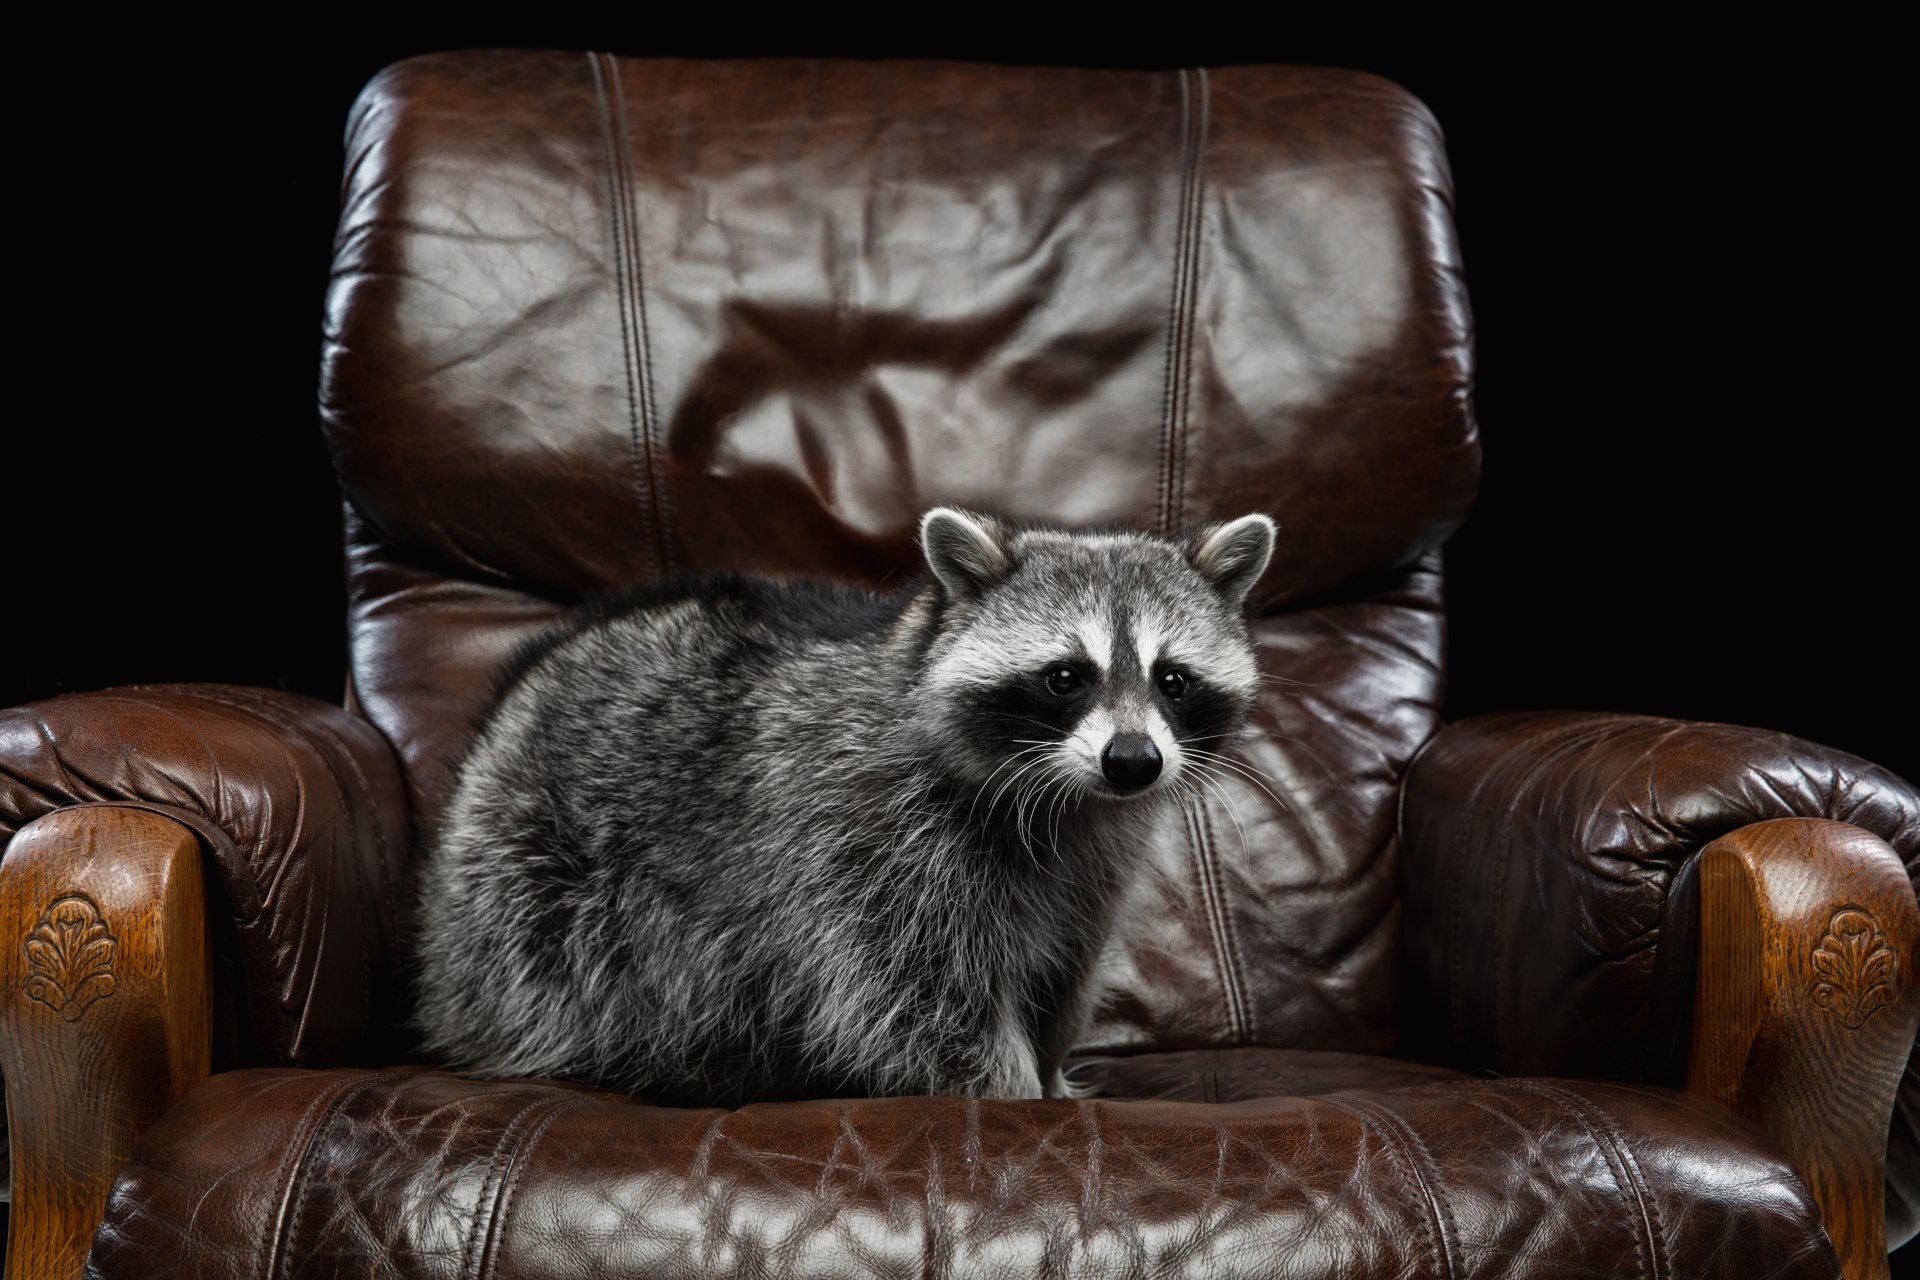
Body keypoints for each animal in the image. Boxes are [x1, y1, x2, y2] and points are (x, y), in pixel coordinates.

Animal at [414, 508, 1276, 1106]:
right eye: (1066, 677)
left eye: (1173, 680)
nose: (1133, 761)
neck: (1069, 798)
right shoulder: (870, 837)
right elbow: (919, 1001)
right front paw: (1014, 1089)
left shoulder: (1096, 862)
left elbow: (1062, 977)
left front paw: (1053, 1068)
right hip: (529, 874)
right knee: (557, 965)